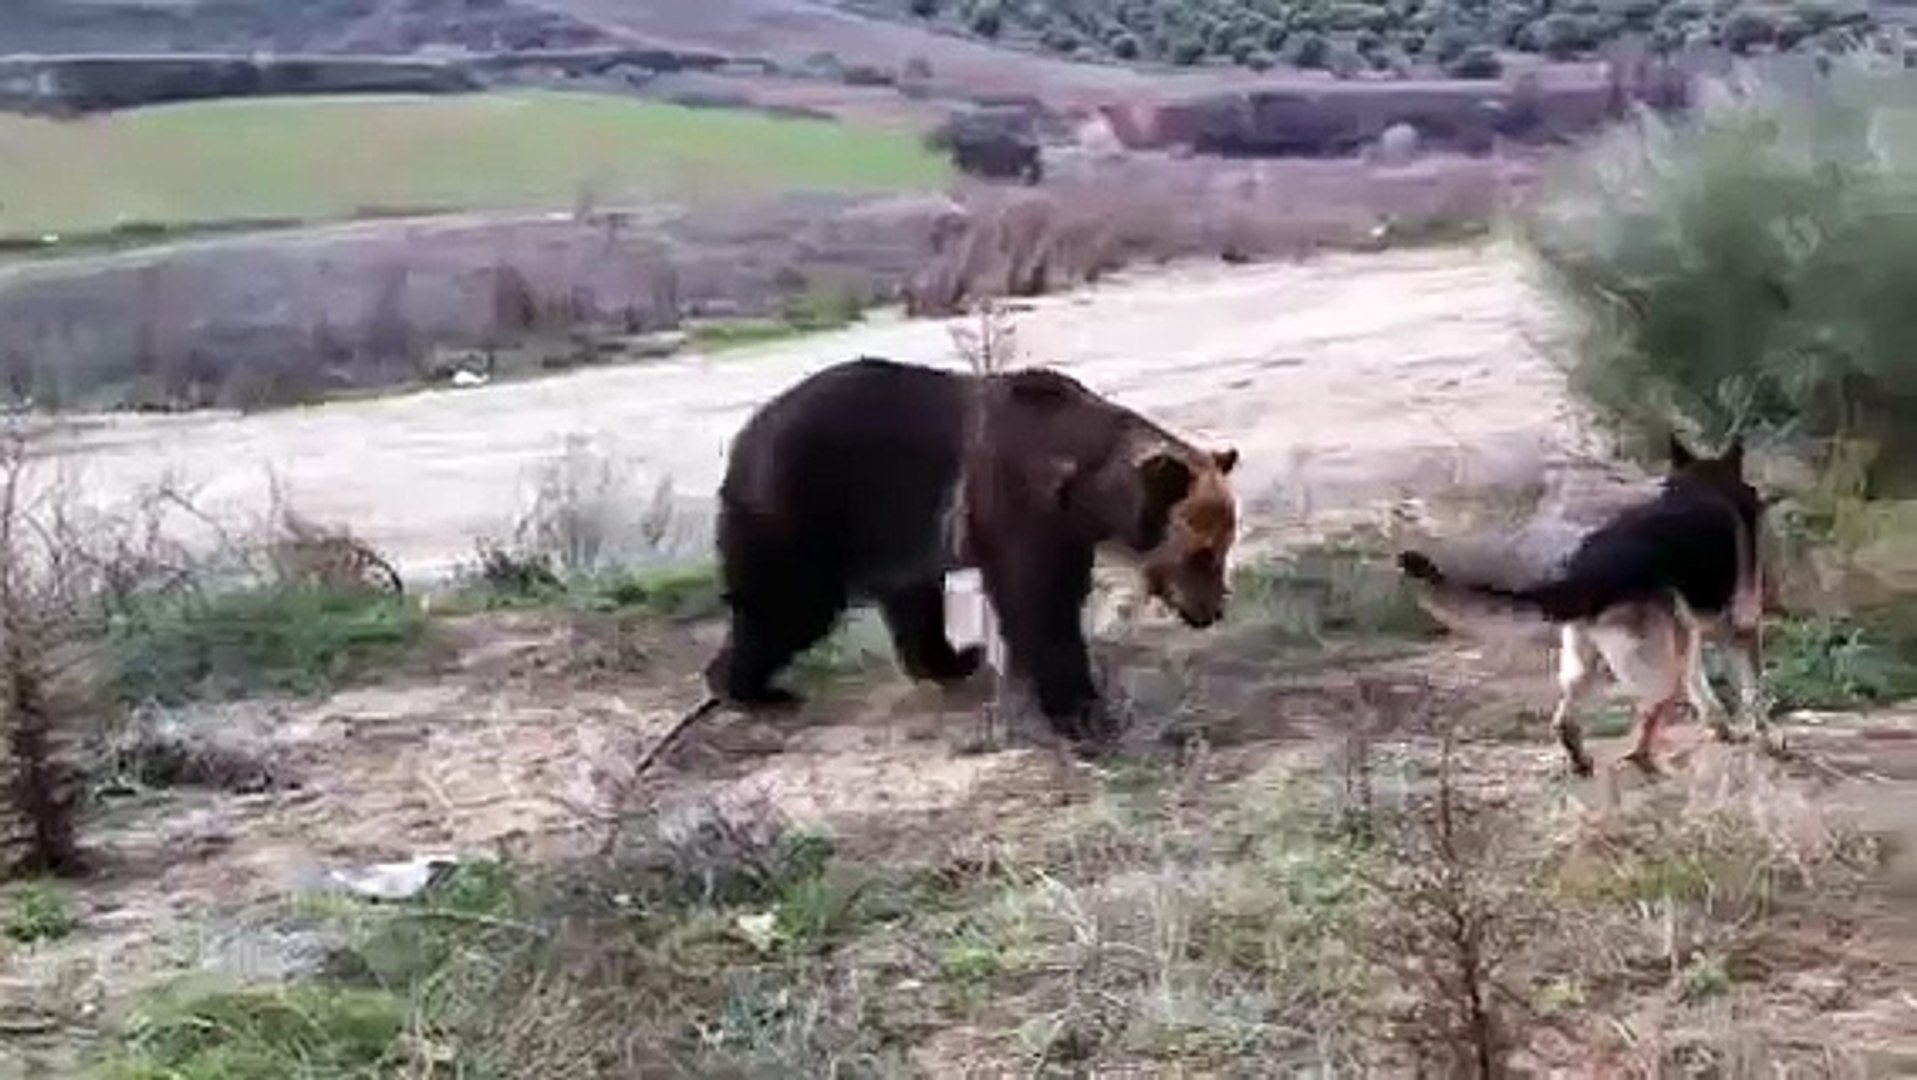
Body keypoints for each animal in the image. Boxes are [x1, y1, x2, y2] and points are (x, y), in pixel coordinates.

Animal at [702, 355, 1241, 745]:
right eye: (1201, 553)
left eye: (1224, 546)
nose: (1211, 611)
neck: (1083, 487)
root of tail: (742, 440)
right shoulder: (1017, 503)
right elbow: (1040, 606)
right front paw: (1085, 712)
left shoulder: (1062, 529)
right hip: (805, 504)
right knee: (788, 603)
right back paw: (750, 688)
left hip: (895, 526)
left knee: (911, 600)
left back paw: (954, 658)